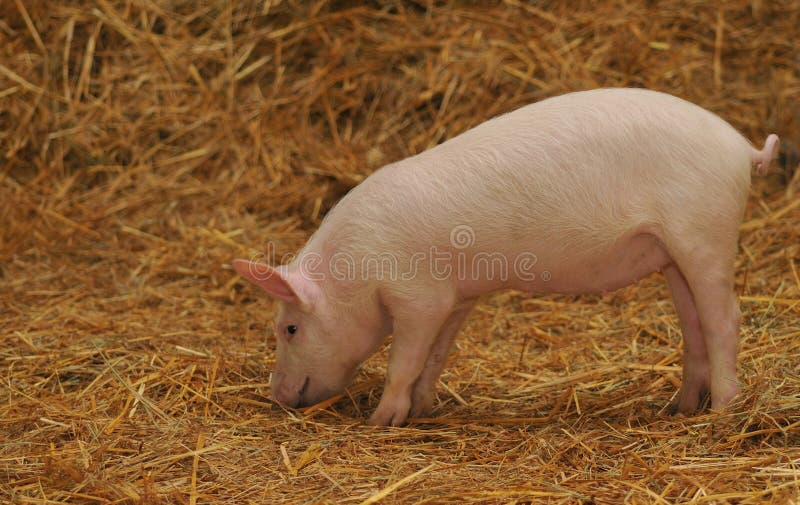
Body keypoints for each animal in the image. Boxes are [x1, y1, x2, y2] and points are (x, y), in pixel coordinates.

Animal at [233, 88, 780, 426]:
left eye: (289, 328)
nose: (275, 394)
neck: (357, 269)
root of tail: (742, 148)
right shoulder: (455, 297)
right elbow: (436, 357)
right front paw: (424, 410)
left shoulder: (419, 298)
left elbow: (402, 362)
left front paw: (380, 421)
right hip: (673, 256)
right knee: (694, 326)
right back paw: (677, 409)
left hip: (705, 233)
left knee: (725, 319)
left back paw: (723, 411)